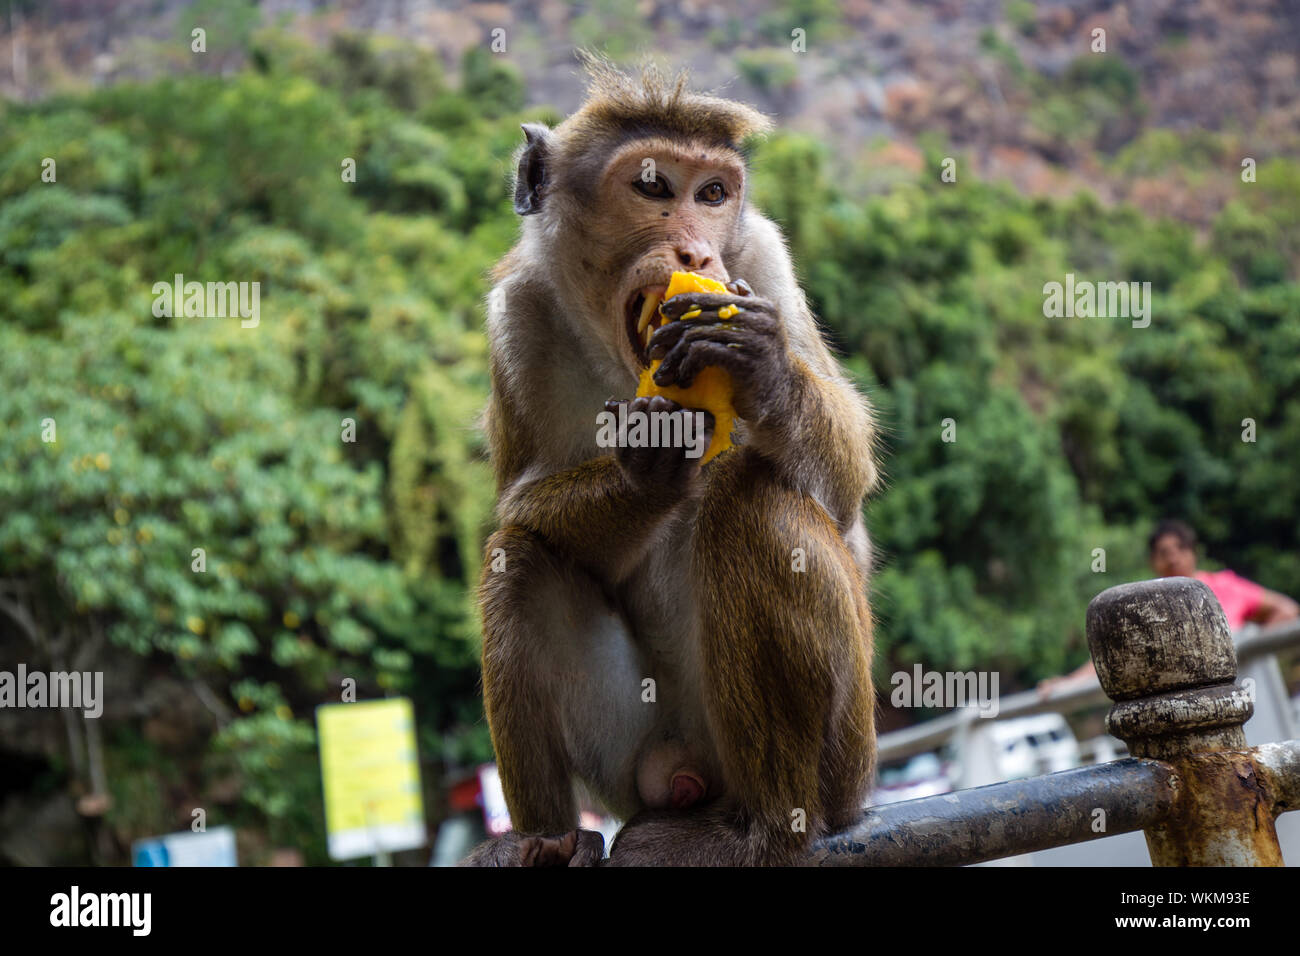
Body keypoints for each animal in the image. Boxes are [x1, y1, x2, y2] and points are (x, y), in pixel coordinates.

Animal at [461, 53, 879, 866]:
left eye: (713, 195)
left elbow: (847, 484)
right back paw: (545, 840)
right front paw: (648, 469)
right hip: (631, 762)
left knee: (753, 500)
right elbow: (522, 505)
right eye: (653, 187)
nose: (695, 252)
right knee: (518, 560)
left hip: (847, 753)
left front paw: (762, 365)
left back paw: (768, 828)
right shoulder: (516, 313)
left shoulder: (765, 263)